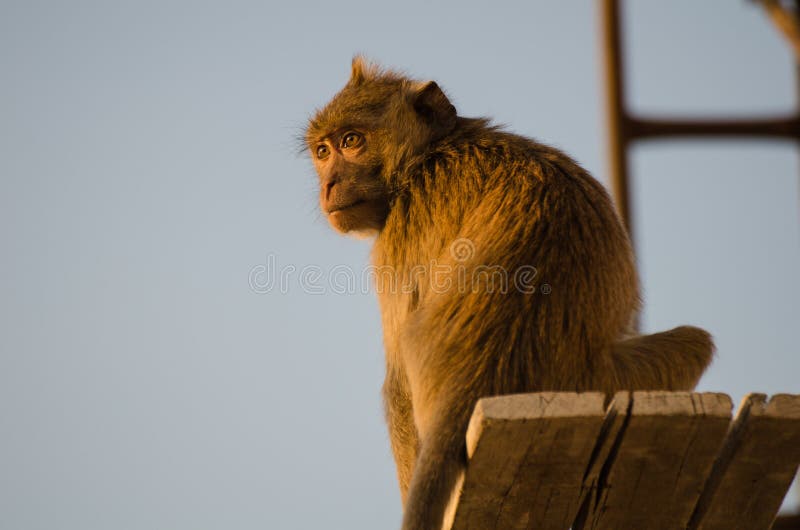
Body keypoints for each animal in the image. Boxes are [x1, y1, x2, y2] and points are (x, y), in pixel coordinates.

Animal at [305, 57, 714, 530]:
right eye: (322, 152)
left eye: (351, 141)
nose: (328, 185)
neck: (427, 158)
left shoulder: (396, 238)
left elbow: (398, 390)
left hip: (616, 383)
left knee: (698, 341)